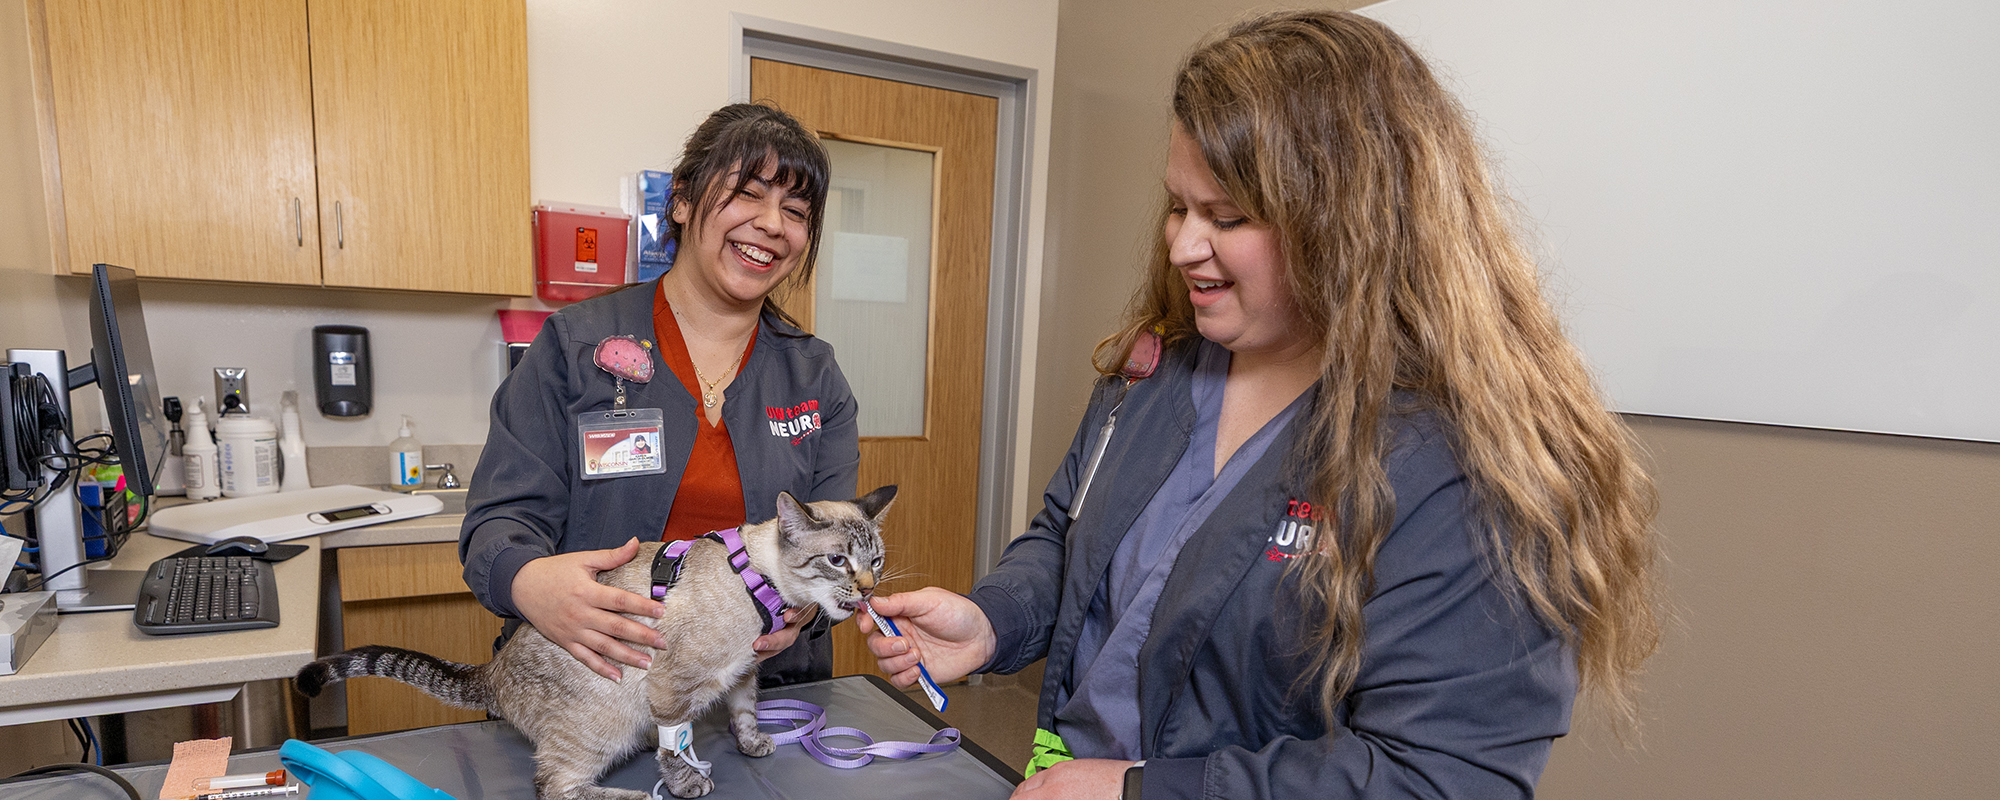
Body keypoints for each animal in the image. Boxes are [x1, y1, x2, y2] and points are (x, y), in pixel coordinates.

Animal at [296, 486, 896, 800]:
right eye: (837, 560)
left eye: (876, 559)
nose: (868, 589)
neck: (759, 583)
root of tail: (492, 674)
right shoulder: (672, 685)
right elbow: (676, 745)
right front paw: (686, 783)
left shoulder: (744, 672)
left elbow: (745, 714)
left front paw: (753, 745)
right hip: (605, 723)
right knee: (553, 785)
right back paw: (635, 797)